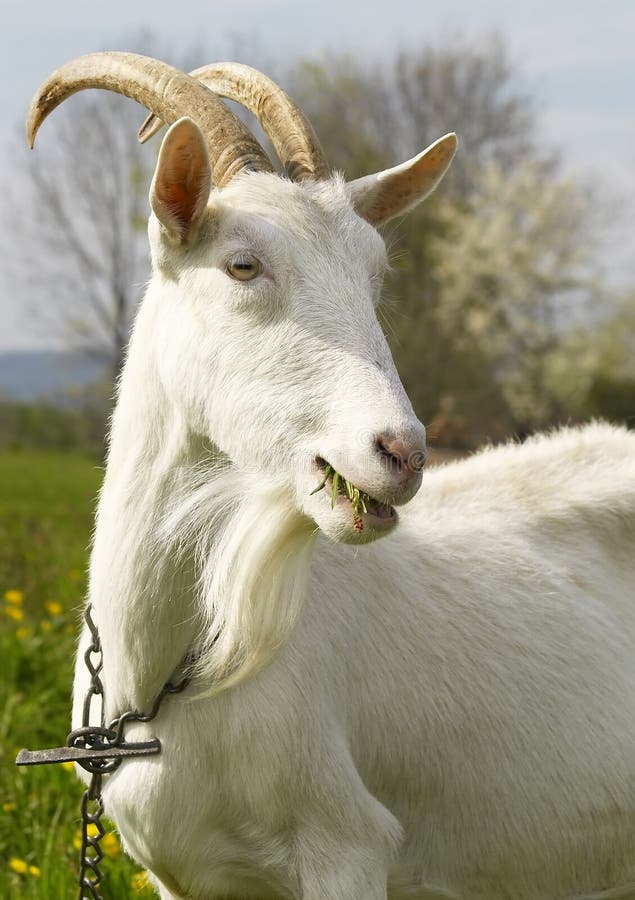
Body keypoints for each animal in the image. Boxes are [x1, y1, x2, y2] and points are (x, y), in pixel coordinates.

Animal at [28, 52, 635, 900]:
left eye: (374, 276)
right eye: (242, 264)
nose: (403, 452)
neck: (180, 664)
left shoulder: (345, 846)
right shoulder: (180, 876)